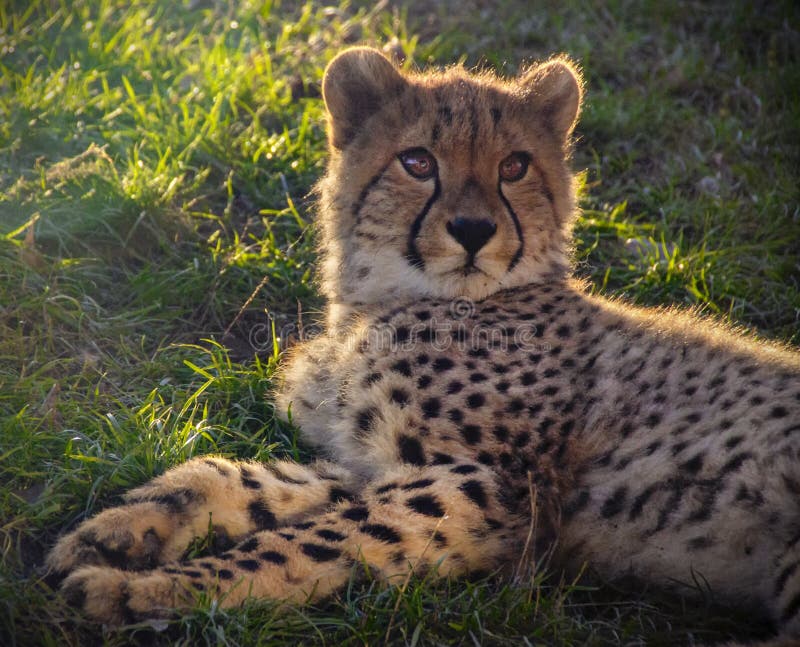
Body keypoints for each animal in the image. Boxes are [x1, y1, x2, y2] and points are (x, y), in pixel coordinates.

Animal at [46, 46, 800, 640]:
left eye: (515, 166)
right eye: (416, 161)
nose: (472, 229)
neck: (375, 307)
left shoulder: (493, 485)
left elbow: (312, 541)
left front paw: (146, 591)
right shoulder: (372, 460)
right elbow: (241, 478)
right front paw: (119, 528)